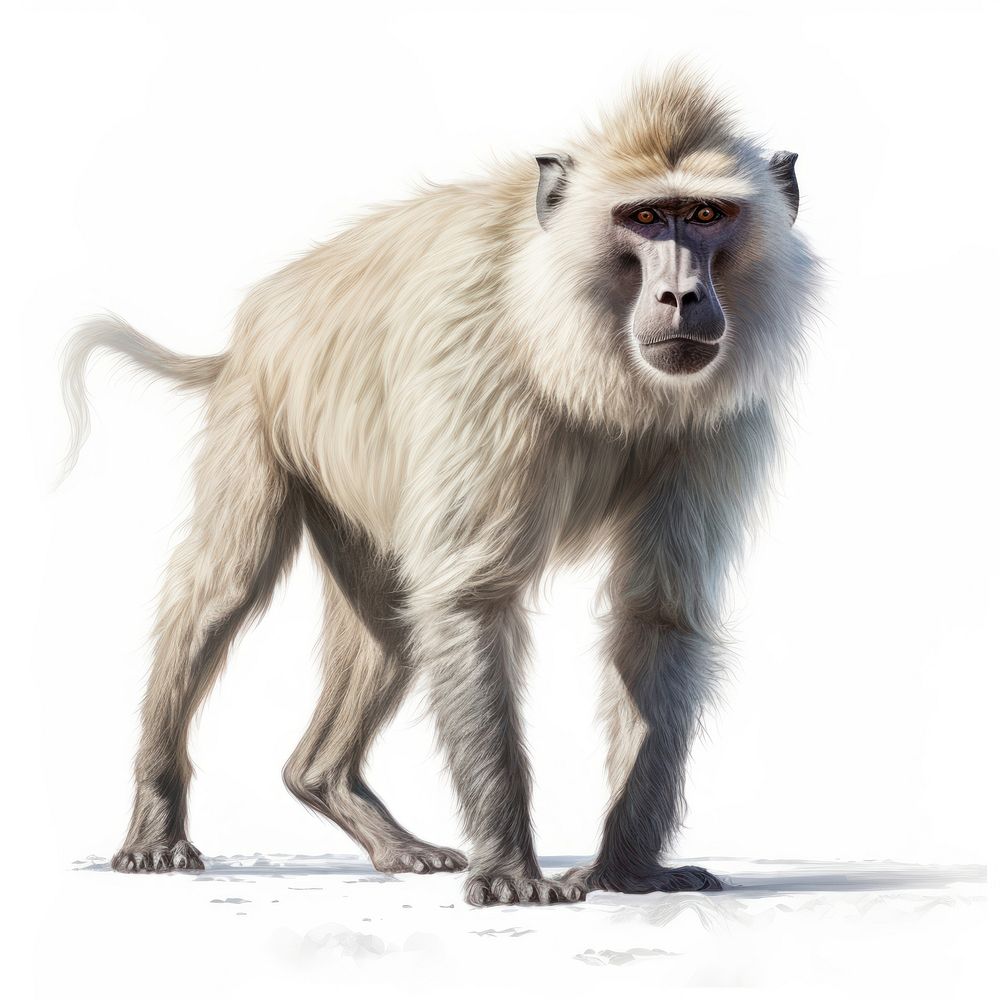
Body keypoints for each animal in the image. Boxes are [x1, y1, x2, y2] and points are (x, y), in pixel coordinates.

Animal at [60, 67, 819, 906]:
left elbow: (656, 612)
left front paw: (630, 871)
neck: (577, 338)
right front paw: (514, 872)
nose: (681, 296)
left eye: (708, 214)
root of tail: (250, 330)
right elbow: (470, 600)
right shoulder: (484, 378)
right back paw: (156, 823)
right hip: (257, 413)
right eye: (646, 217)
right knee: (223, 589)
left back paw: (338, 795)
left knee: (390, 627)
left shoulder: (712, 421)